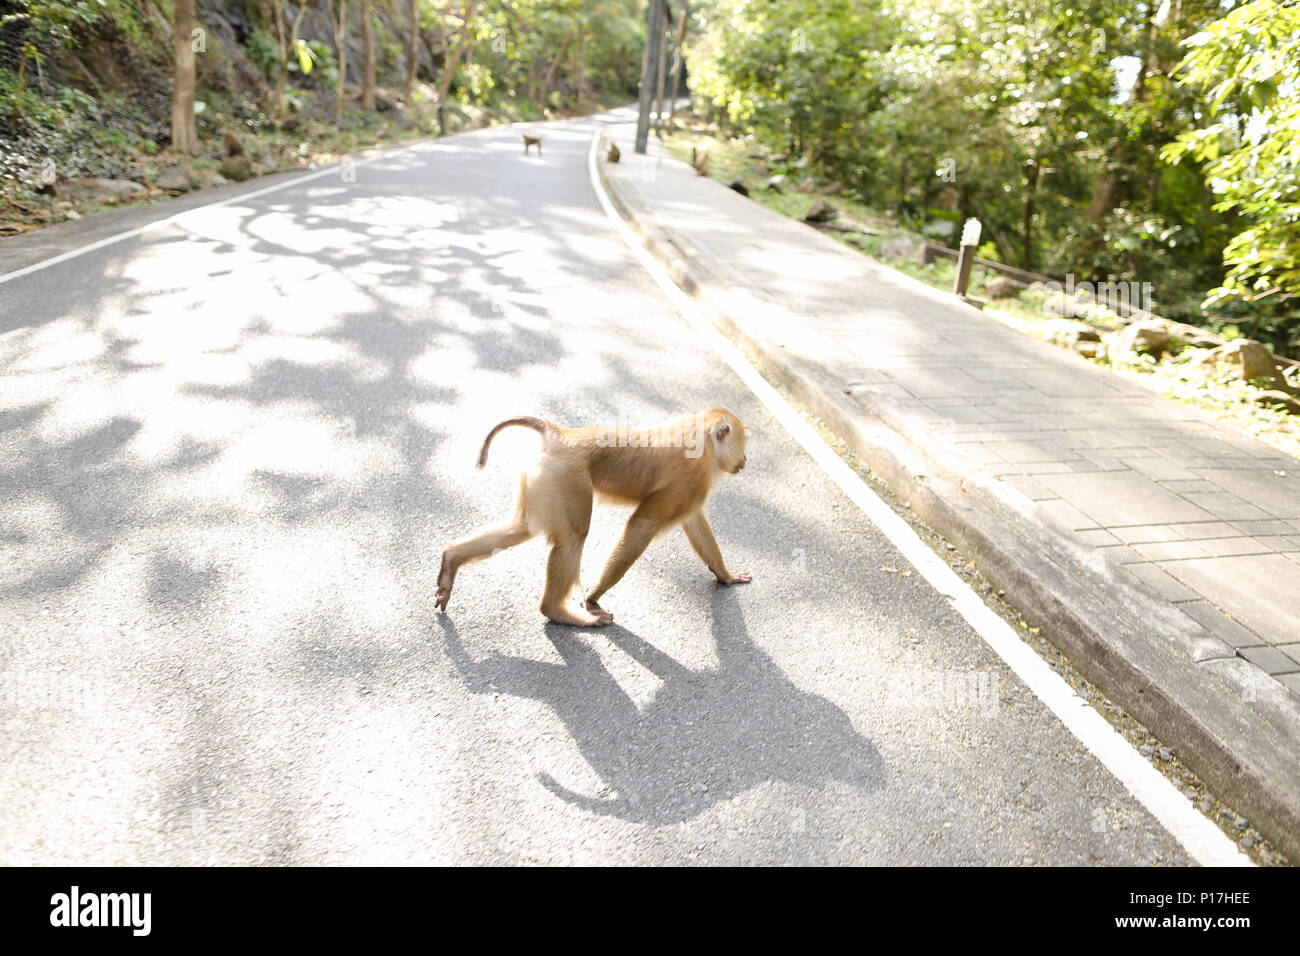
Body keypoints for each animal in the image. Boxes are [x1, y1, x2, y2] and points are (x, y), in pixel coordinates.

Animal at [435, 408, 751, 627]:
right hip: (567, 478)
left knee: (521, 527)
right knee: (573, 536)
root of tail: (560, 435)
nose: (745, 460)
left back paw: (451, 560)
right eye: (742, 443)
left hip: (543, 479)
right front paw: (593, 595)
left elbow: (694, 522)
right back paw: (557, 612)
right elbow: (641, 527)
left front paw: (725, 575)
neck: (703, 435)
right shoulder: (690, 479)